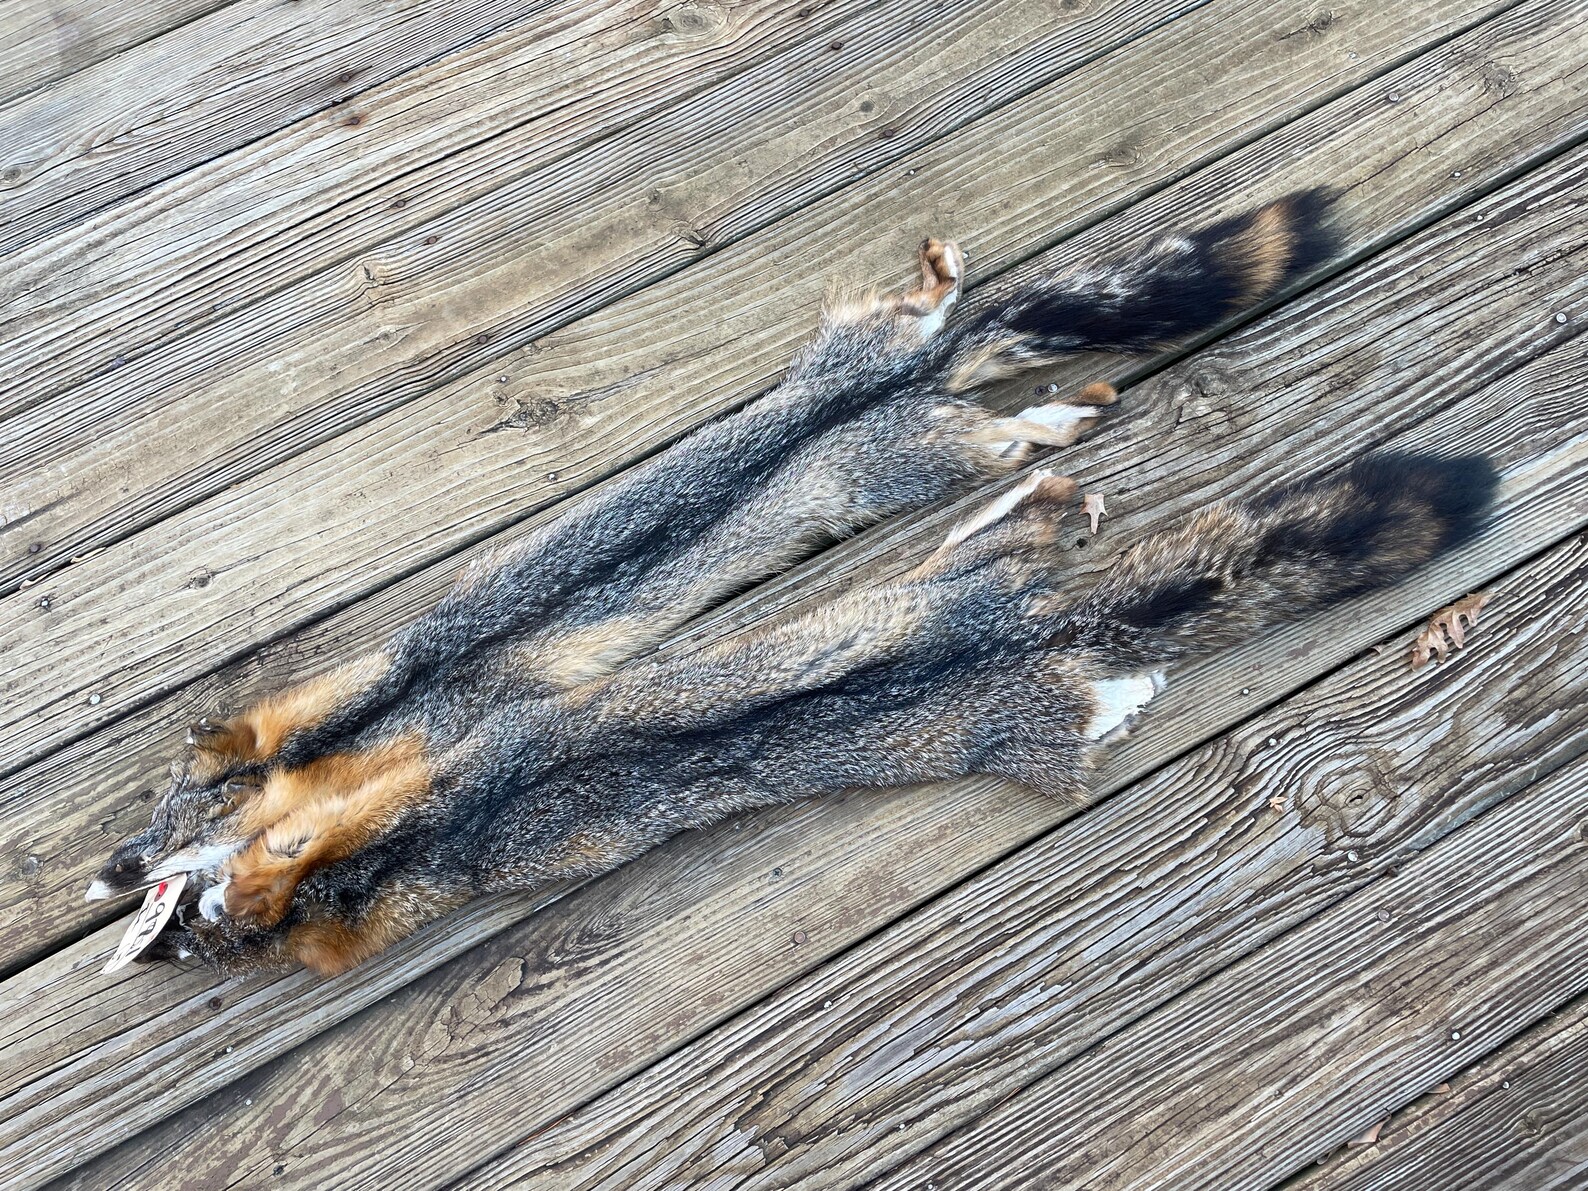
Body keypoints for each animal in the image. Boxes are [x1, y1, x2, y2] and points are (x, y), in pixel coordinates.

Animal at [86, 191, 1343, 960]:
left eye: (160, 831)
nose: (111, 870)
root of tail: (892, 389)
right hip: (886, 390)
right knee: (955, 354)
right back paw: (978, 326)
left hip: (916, 458)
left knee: (999, 430)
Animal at [111, 451, 1493, 975]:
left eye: (171, 925)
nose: (110, 873)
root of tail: (1019, 632)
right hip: (954, 578)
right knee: (1009, 537)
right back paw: (1050, 510)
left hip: (1015, 717)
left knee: (1082, 696)